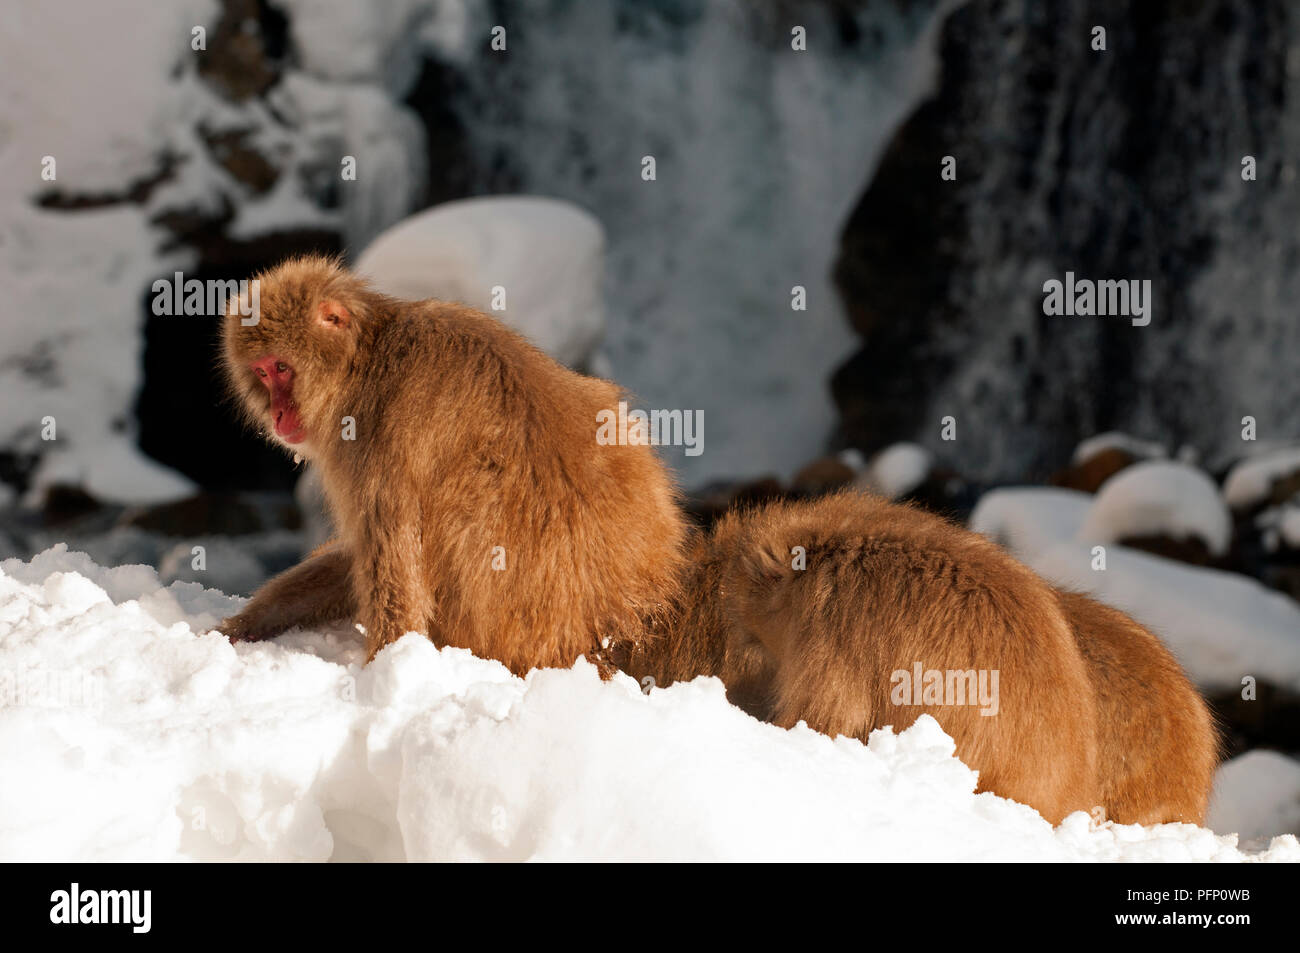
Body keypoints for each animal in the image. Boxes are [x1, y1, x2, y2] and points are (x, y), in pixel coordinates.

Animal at [217, 255, 687, 674]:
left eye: (282, 367)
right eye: (262, 373)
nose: (279, 414)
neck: (366, 358)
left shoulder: (377, 441)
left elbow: (395, 571)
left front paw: (385, 668)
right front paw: (247, 625)